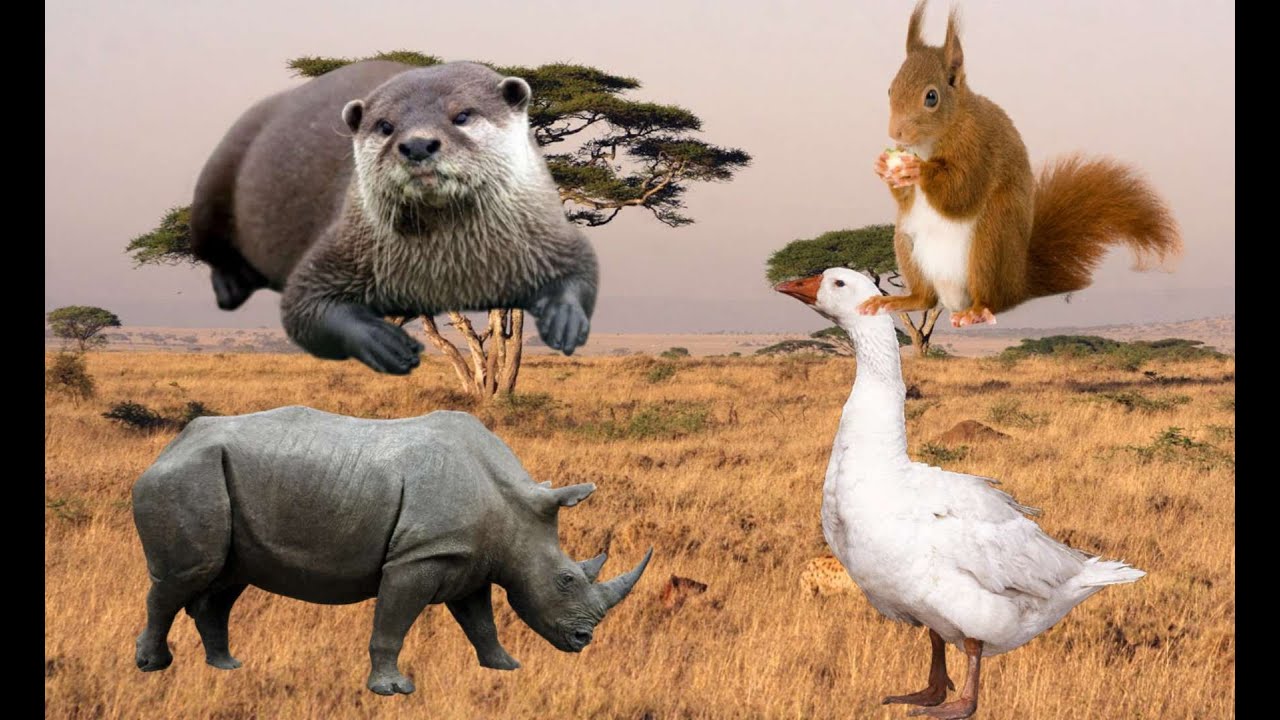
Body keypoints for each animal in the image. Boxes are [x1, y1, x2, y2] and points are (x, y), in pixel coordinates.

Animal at [131, 406, 652, 695]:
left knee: (225, 582)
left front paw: (505, 667)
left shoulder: (467, 557)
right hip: (187, 477)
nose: (584, 640)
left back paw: (226, 667)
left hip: (217, 484)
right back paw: (153, 667)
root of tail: (169, 447)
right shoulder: (418, 555)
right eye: (566, 580)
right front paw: (393, 690)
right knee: (182, 578)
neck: (513, 510)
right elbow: (393, 623)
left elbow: (480, 620)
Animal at [860, 0, 1182, 328]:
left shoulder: (979, 145)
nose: (895, 133)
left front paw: (918, 170)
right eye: (890, 89)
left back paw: (977, 311)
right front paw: (883, 165)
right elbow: (906, 196)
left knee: (993, 298)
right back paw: (896, 300)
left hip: (990, 243)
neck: (932, 139)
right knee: (925, 298)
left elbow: (961, 191)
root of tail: (1019, 281)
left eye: (931, 97)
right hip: (905, 242)